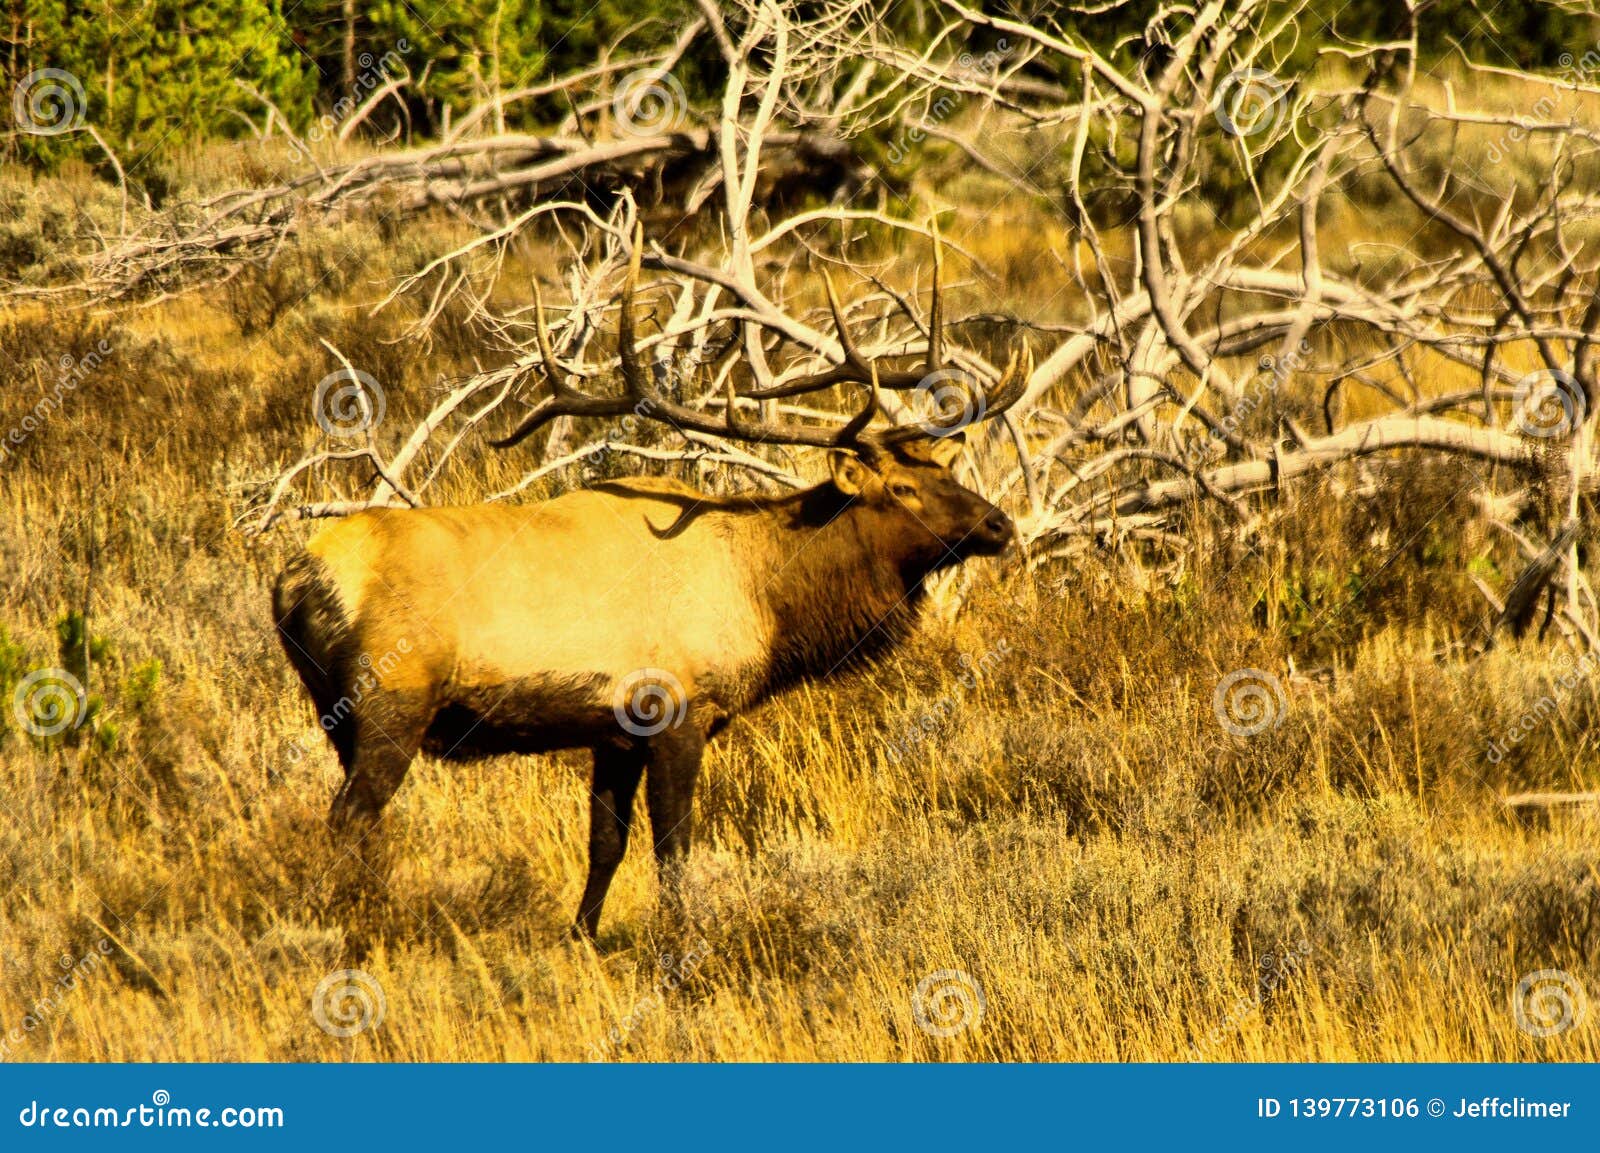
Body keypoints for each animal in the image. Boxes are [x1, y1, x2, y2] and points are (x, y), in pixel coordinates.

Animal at [272, 229, 1031, 937]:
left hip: (336, 710)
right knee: (349, 820)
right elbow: (674, 845)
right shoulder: (676, 706)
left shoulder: (613, 729)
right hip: (391, 699)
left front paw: (584, 935)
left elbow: (607, 841)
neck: (766, 597)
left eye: (944, 470)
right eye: (902, 488)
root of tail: (293, 581)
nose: (1000, 525)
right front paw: (682, 939)